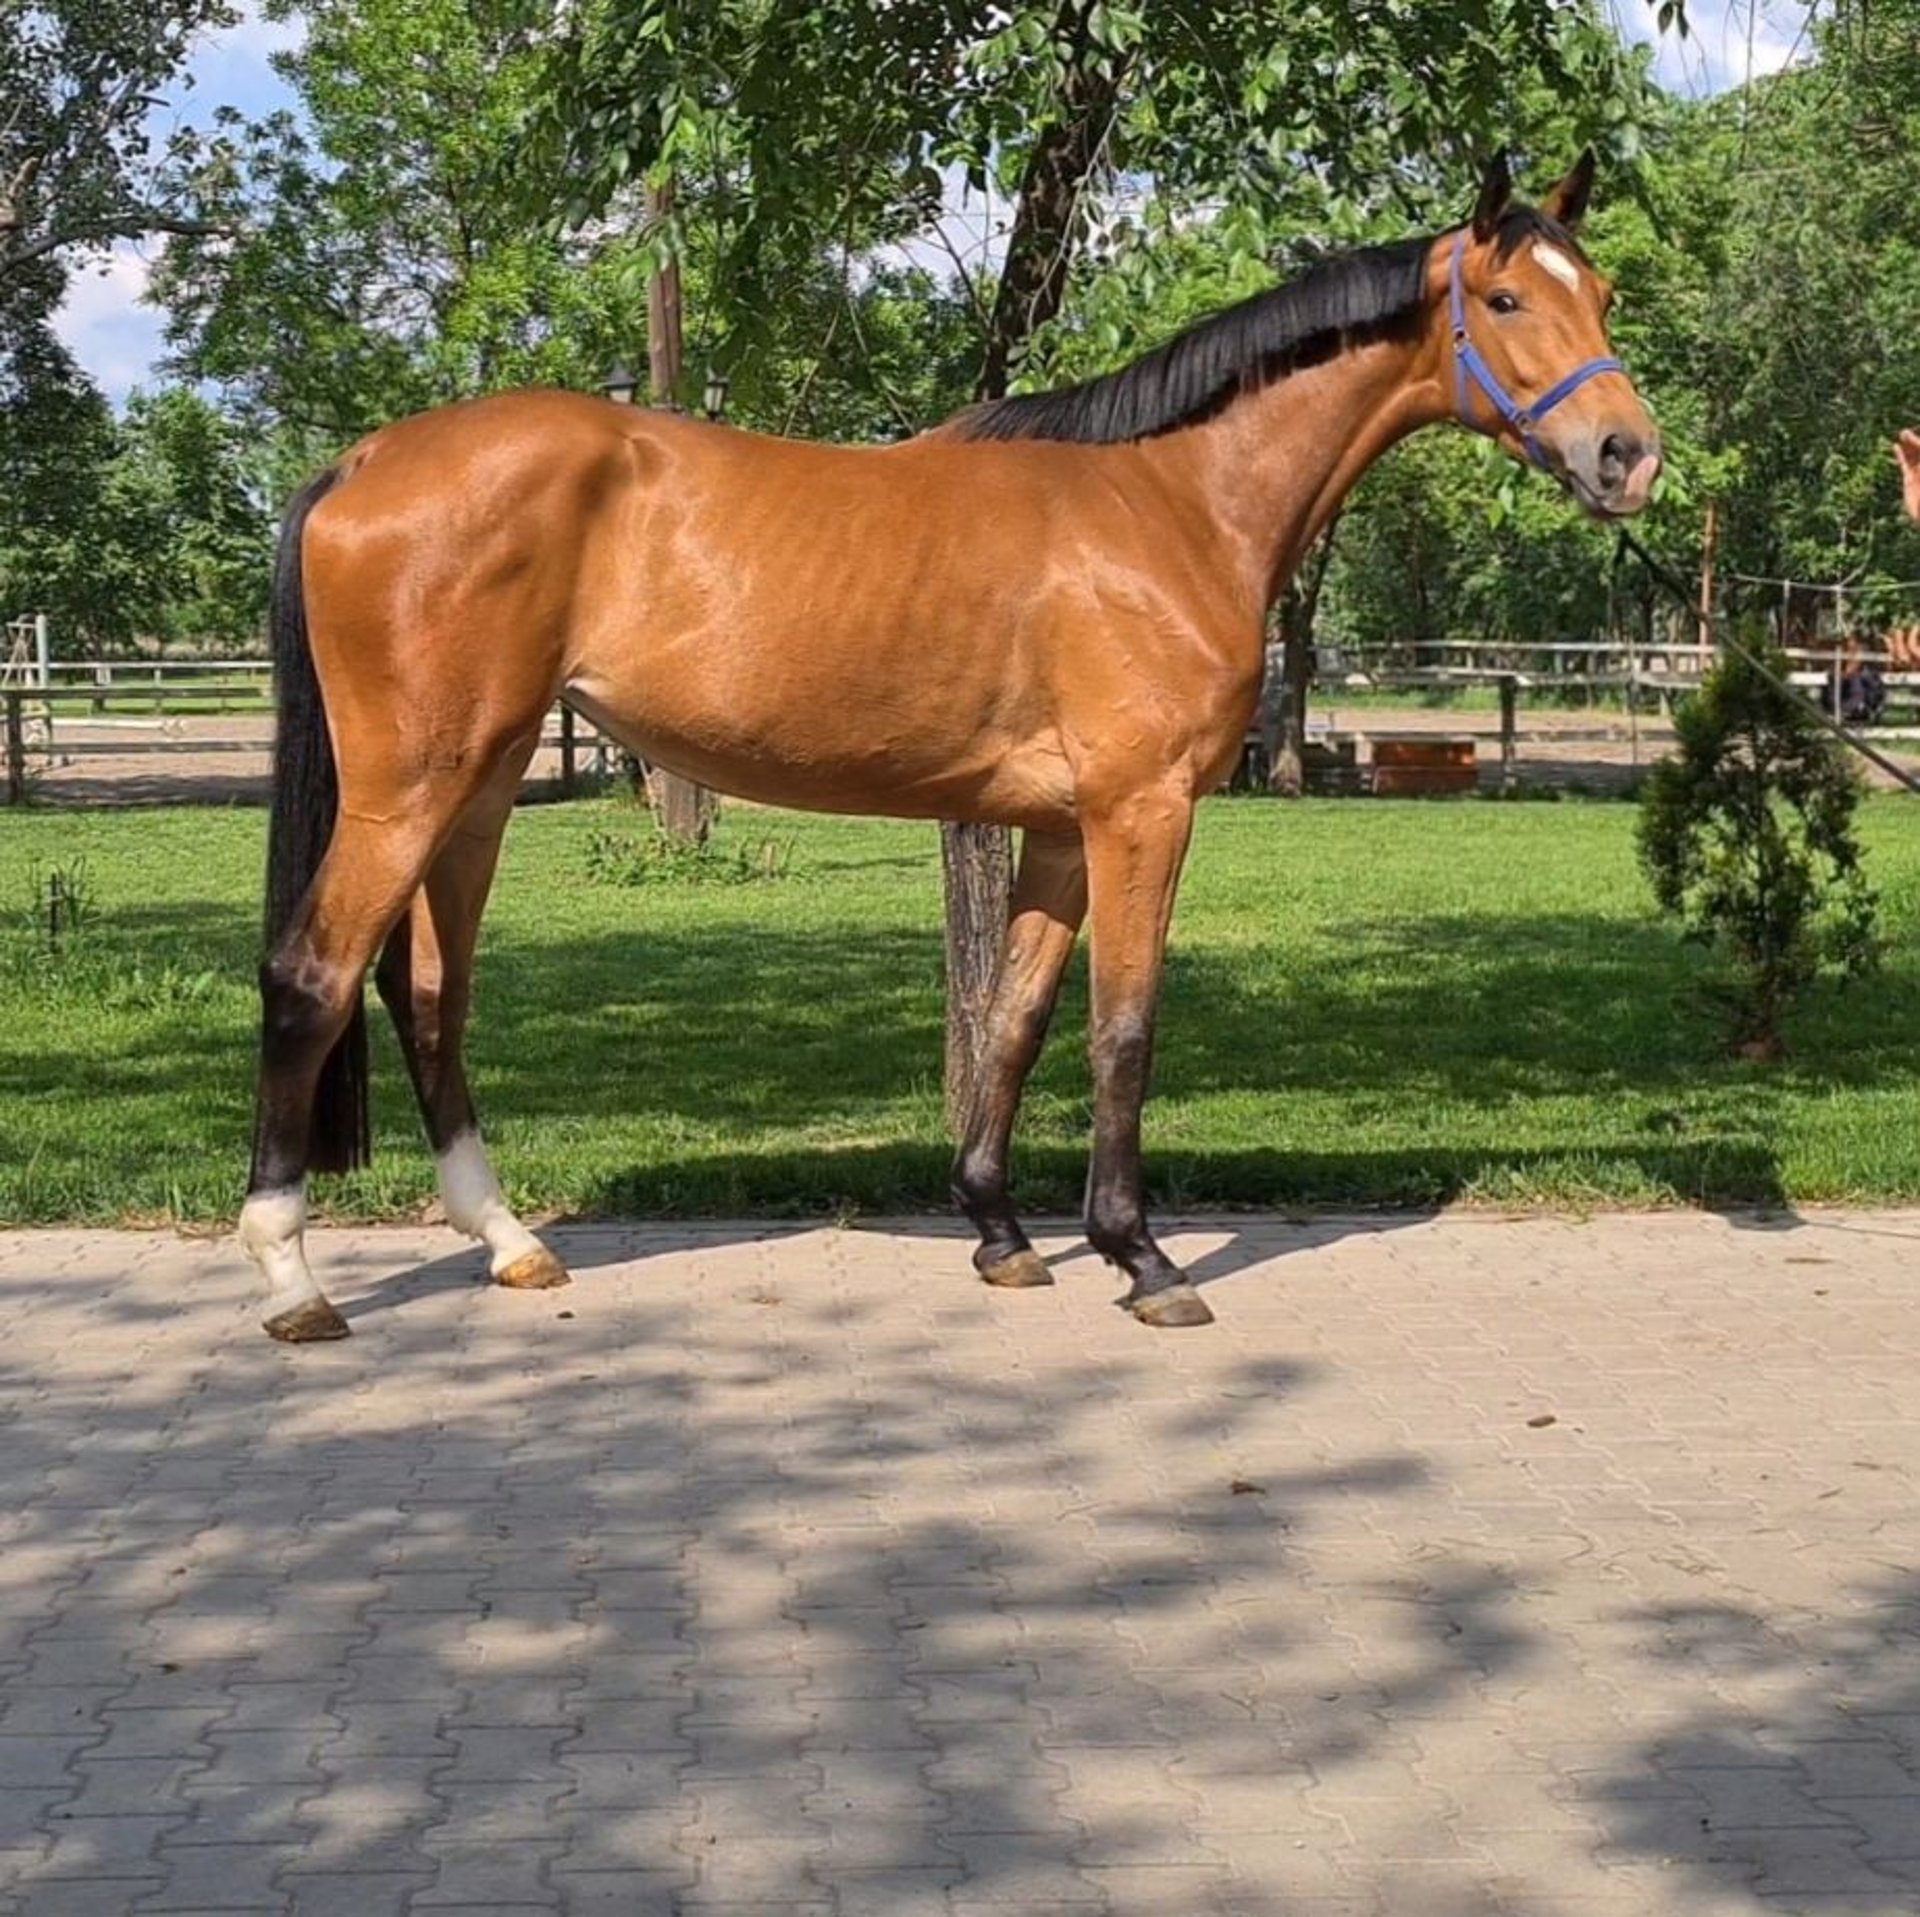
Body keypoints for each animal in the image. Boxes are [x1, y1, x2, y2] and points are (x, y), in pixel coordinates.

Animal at [242, 151, 1661, 1343]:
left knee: (429, 993)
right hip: (406, 792)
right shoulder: (1142, 813)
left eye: (1598, 292)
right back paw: (294, 1279)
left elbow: (1016, 1017)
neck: (1169, 504)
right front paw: (1141, 1257)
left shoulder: (1058, 829)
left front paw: (1000, 1231)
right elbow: (1123, 1027)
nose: (1627, 456)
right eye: (1503, 297)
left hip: (476, 790)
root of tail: (363, 461)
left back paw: (507, 1242)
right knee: (313, 975)